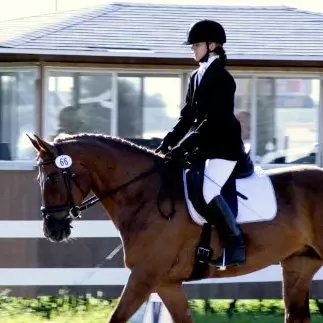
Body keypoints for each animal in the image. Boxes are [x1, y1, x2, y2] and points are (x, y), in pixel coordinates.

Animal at [27, 134, 323, 323]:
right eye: (39, 179)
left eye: (52, 178)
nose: (52, 229)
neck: (143, 194)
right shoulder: (166, 283)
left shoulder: (144, 275)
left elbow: (117, 317)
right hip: (300, 263)